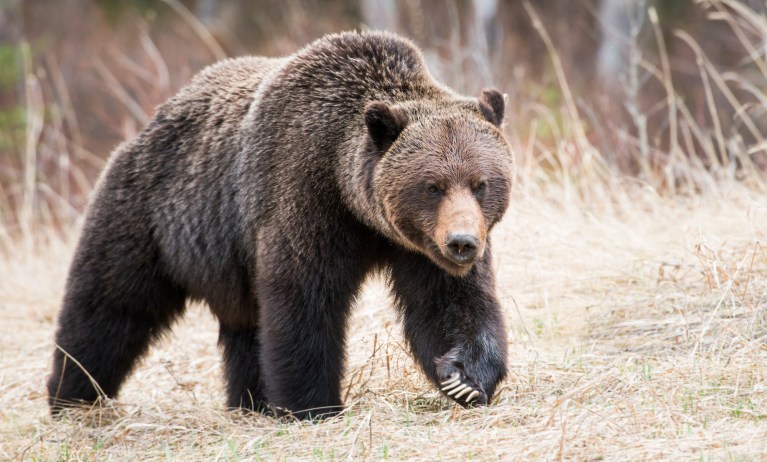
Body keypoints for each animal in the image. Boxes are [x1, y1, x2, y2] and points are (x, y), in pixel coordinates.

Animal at [47, 31, 514, 420]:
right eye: (432, 186)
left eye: (481, 183)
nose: (462, 243)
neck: (358, 209)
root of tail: (150, 122)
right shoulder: (303, 197)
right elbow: (303, 301)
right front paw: (312, 405)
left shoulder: (417, 247)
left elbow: (450, 304)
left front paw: (465, 378)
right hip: (152, 216)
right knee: (108, 307)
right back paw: (71, 397)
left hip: (226, 264)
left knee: (244, 329)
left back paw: (249, 401)